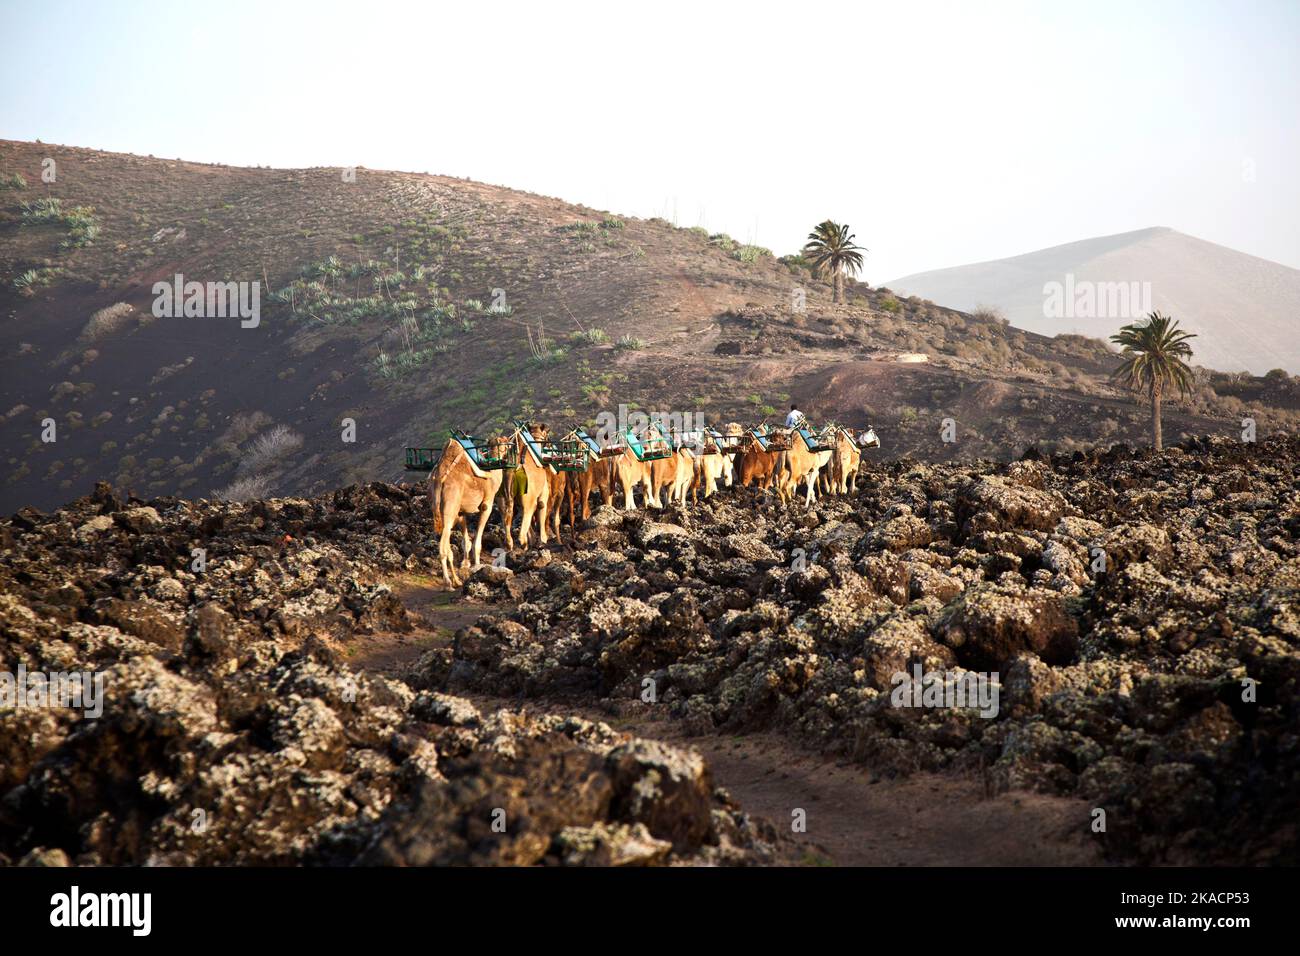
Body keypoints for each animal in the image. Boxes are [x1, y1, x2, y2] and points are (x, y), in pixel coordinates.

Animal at [428, 435, 509, 587]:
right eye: (505, 444)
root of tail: (439, 481)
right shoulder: (487, 504)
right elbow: (477, 541)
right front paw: (477, 566)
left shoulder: (461, 512)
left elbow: (466, 541)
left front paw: (465, 565)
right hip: (449, 510)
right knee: (443, 547)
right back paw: (448, 582)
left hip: (439, 510)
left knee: (447, 546)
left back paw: (457, 580)